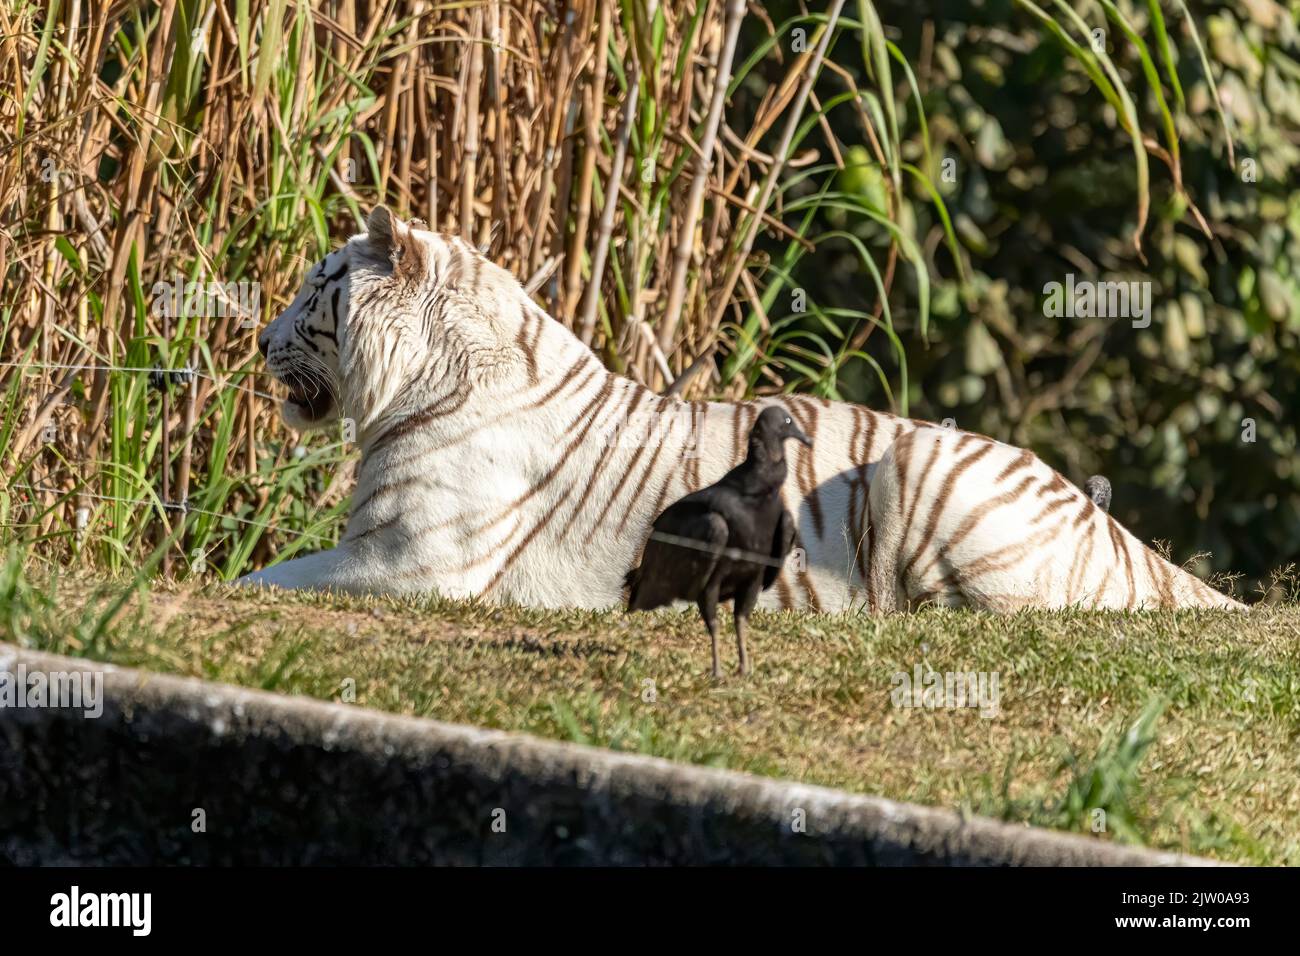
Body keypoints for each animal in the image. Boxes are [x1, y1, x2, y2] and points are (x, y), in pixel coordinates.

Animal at [236, 206, 1244, 612]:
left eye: (318, 286)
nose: (257, 337)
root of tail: (1104, 520)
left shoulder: (412, 560)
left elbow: (263, 578)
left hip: (926, 479)